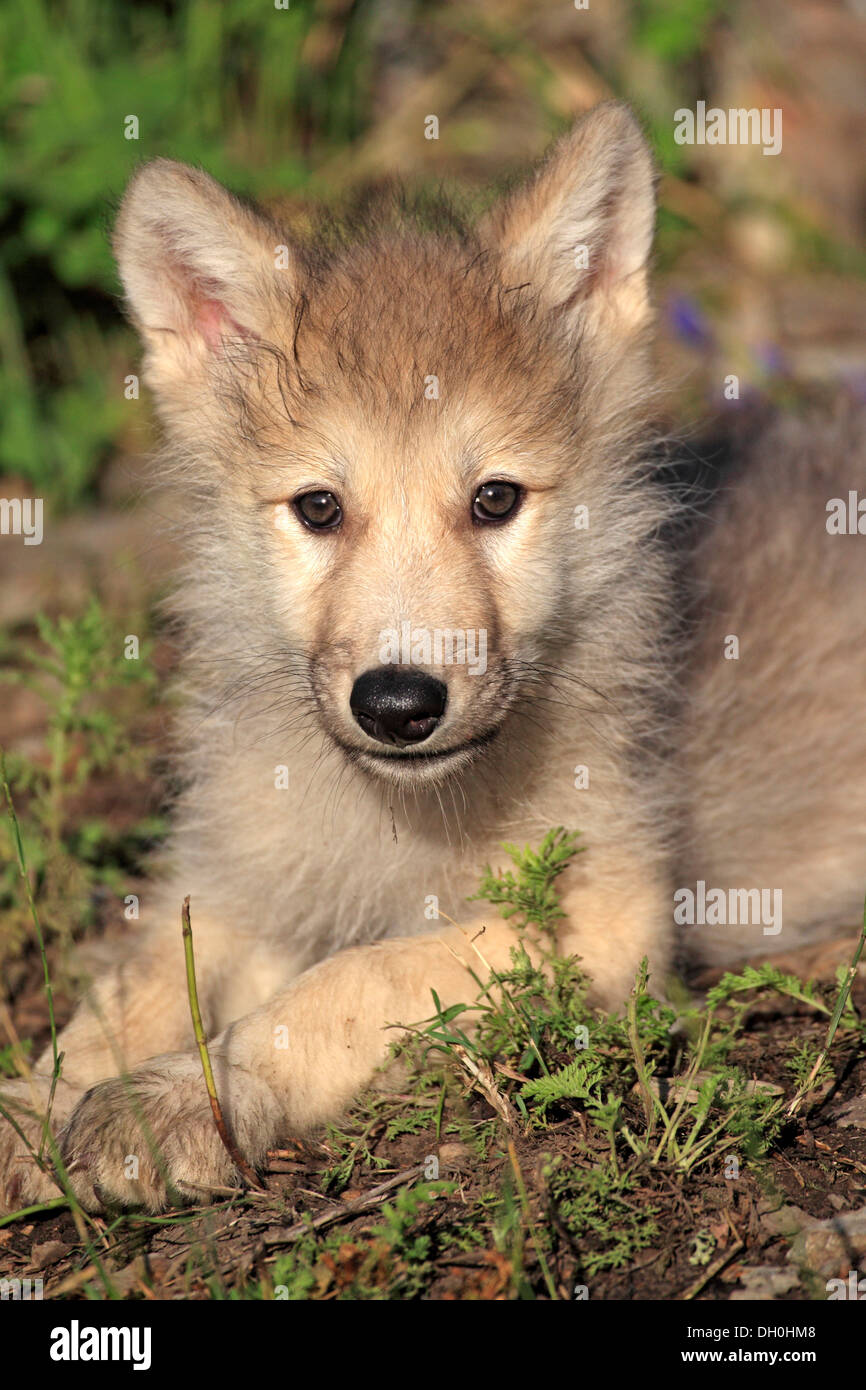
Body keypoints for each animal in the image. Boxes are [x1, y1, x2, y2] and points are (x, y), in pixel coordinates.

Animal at [2, 102, 865, 1213]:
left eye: (494, 499)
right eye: (318, 508)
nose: (400, 704)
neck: (397, 820)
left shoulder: (601, 919)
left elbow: (342, 983)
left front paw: (196, 1093)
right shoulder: (246, 880)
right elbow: (132, 990)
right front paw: (37, 1100)